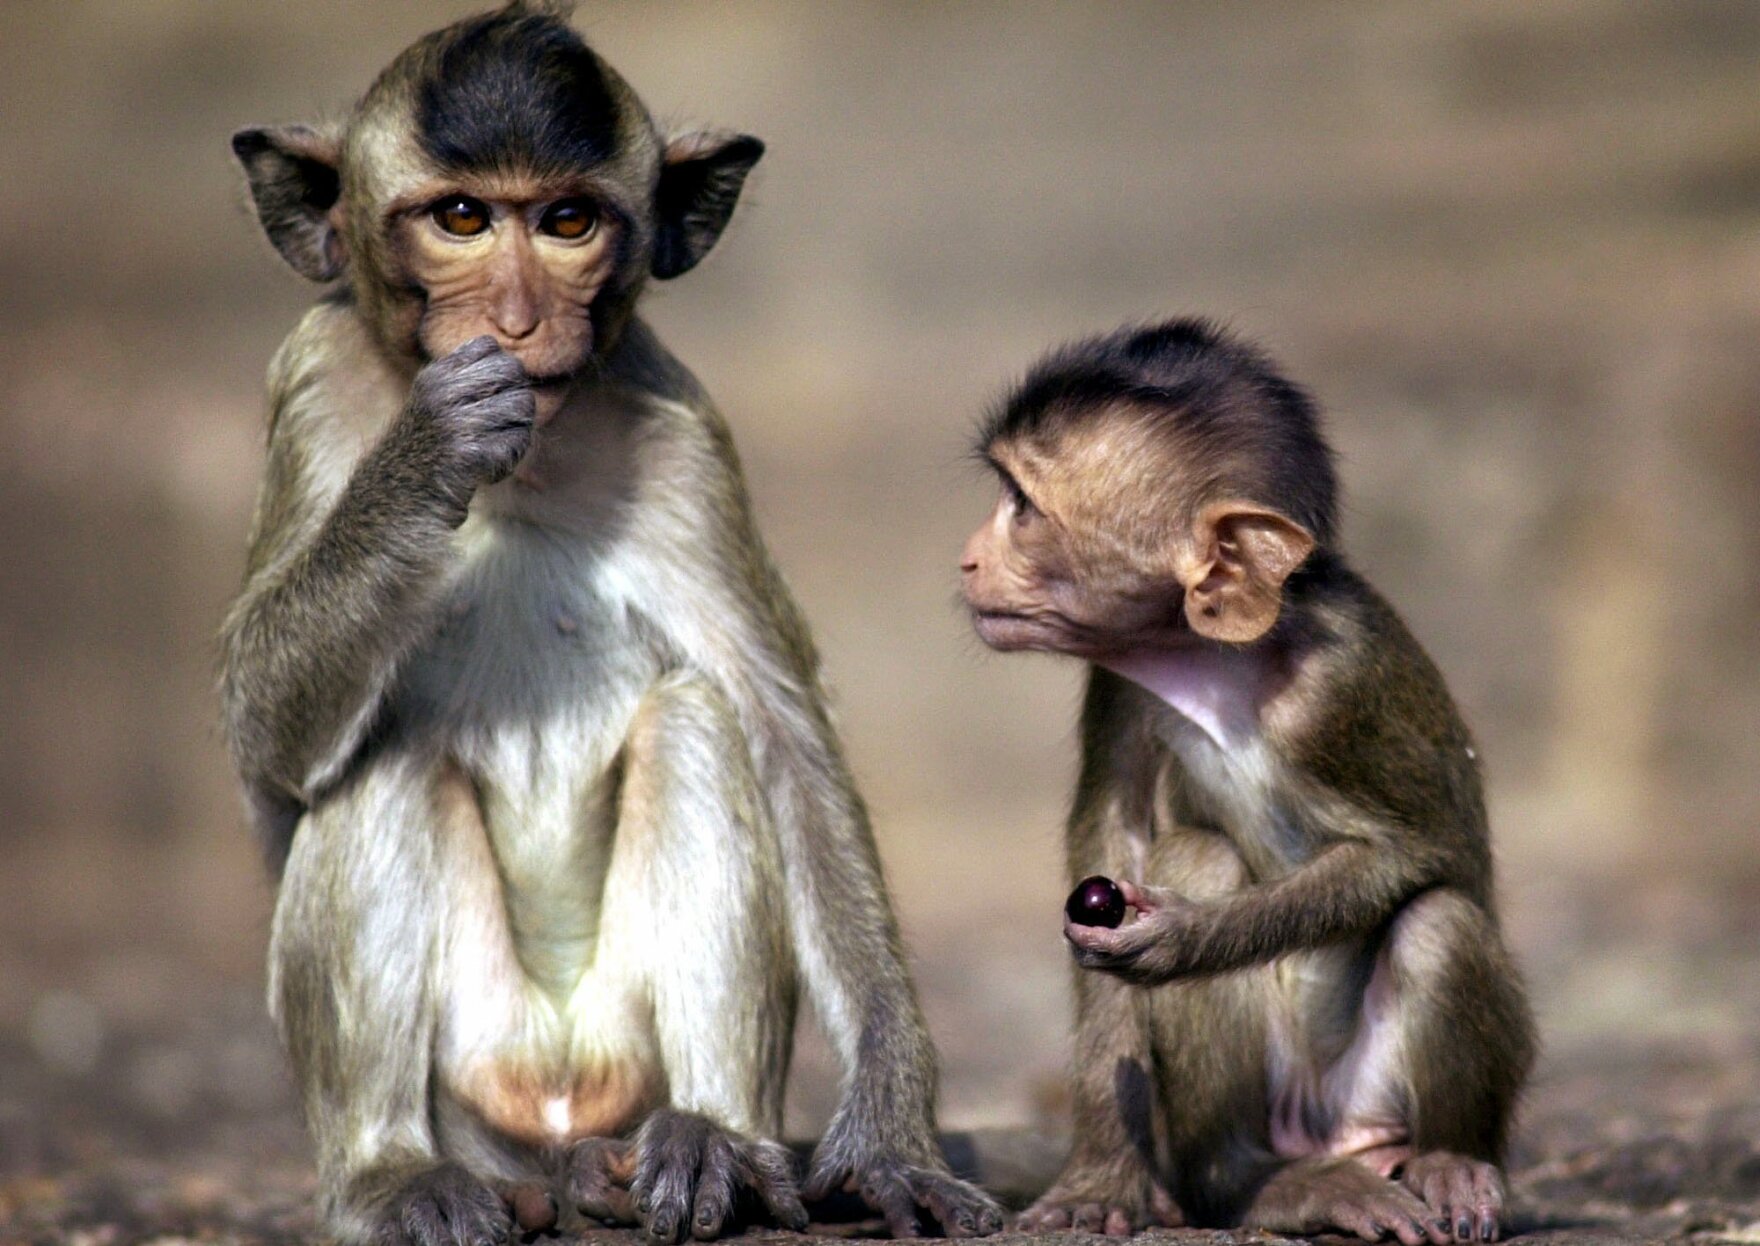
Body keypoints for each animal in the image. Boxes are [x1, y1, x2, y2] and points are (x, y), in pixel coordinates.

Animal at [220, 6, 1004, 1243]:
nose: (517, 318)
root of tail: (552, 1121)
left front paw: (888, 1131)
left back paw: (709, 1143)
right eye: (461, 218)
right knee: (379, 762)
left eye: (567, 222)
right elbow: (266, 745)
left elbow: (786, 742)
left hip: (616, 1054)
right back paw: (394, 1175)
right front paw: (422, 459)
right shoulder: (307, 388)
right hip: (473, 1083)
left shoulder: (685, 444)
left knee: (699, 723)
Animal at [958, 319, 1535, 1243]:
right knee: (1200, 855)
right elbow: (1110, 834)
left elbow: (1415, 854)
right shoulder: (1121, 678)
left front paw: (1186, 941)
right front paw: (1101, 1174)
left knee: (1438, 923)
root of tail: (1327, 1130)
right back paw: (1256, 1181)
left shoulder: (1341, 690)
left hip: (1374, 1096)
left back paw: (1447, 1161)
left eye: (1024, 507)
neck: (1222, 657)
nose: (970, 559)